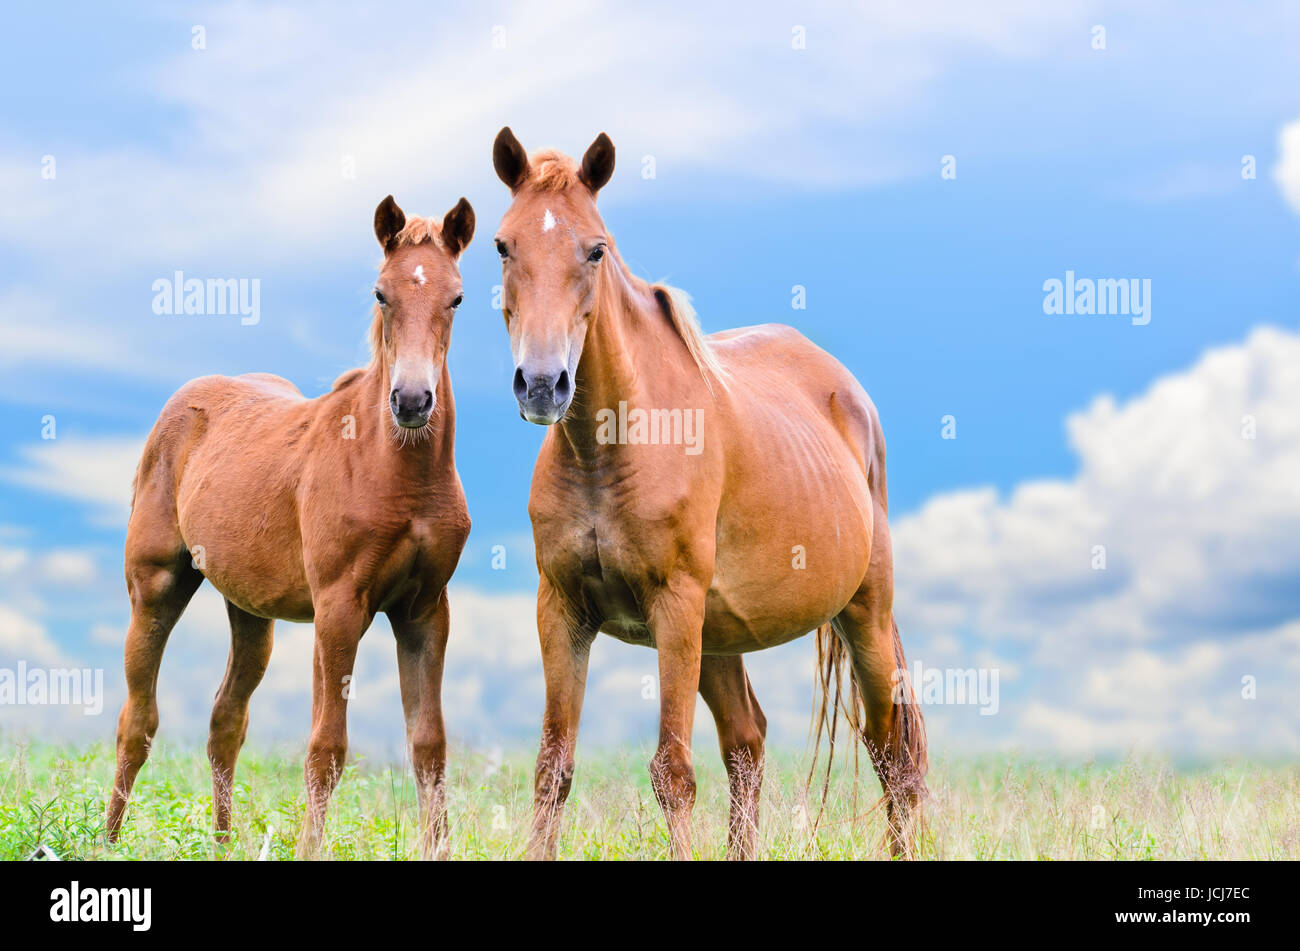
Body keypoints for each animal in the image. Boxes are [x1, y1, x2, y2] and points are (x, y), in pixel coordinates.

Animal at [105, 195, 475, 859]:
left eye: (456, 297)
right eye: (381, 293)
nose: (411, 401)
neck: (396, 470)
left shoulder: (426, 609)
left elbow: (429, 746)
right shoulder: (339, 607)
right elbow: (327, 747)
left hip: (251, 611)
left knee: (226, 720)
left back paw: (223, 844)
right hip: (155, 587)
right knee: (137, 721)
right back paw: (108, 841)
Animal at [490, 127, 928, 860]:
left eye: (596, 248)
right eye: (501, 244)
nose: (543, 385)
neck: (610, 448)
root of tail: (849, 391)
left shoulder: (675, 607)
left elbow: (672, 772)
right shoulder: (563, 612)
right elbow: (553, 768)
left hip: (862, 614)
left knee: (893, 750)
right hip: (720, 636)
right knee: (749, 745)